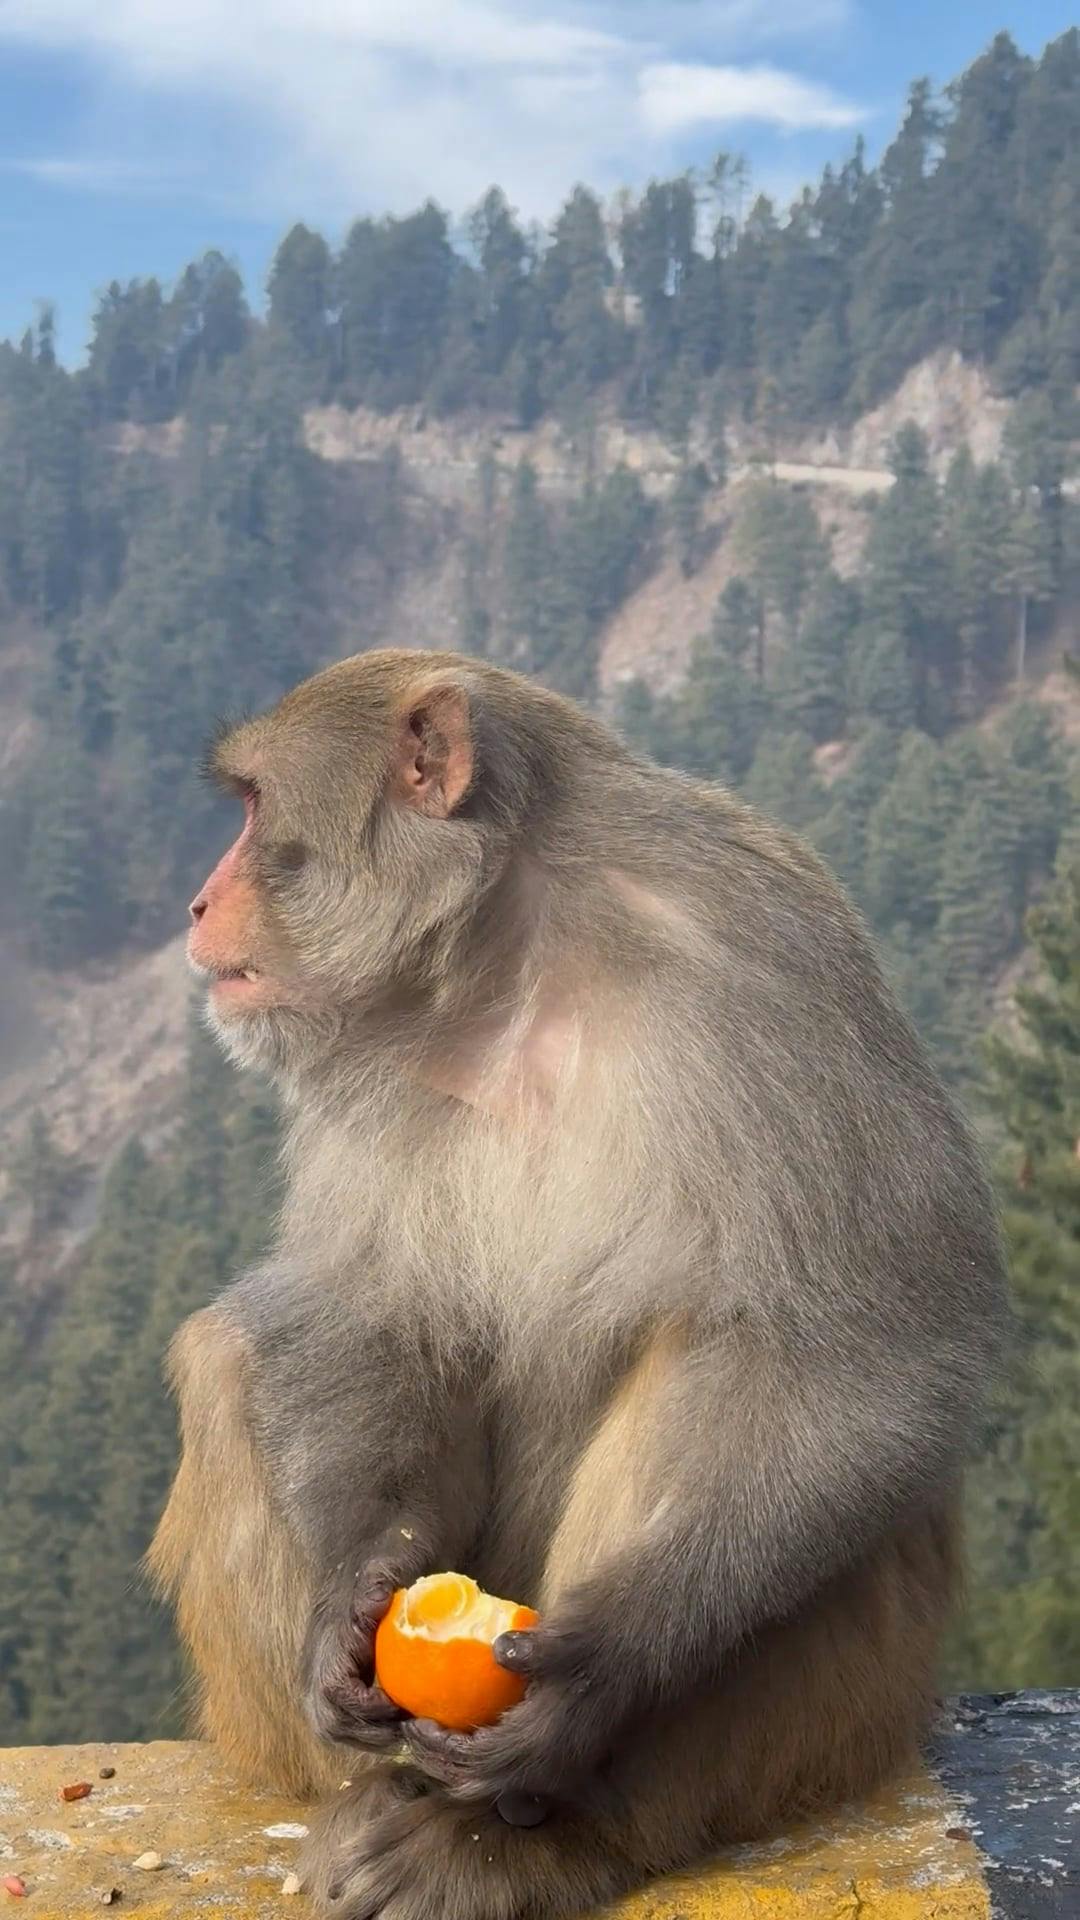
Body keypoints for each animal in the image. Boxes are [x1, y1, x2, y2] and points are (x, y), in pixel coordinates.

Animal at [149, 648, 1007, 1920]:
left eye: (255, 808)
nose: (199, 905)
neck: (514, 969)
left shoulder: (760, 949)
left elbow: (865, 1344)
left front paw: (606, 1666)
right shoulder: (366, 1054)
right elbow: (367, 1313)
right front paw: (357, 1591)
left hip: (843, 1708)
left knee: (721, 1356)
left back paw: (533, 1836)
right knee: (229, 1355)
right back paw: (377, 1797)